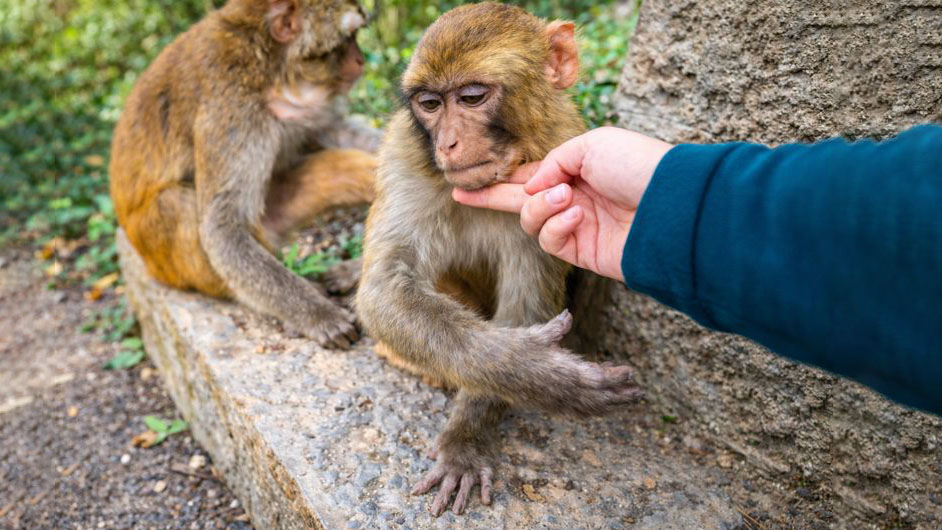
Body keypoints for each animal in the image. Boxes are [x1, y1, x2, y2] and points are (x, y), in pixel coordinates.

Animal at [109, 0, 379, 348]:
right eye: (347, 39)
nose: (360, 59)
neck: (270, 69)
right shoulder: (231, 111)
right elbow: (223, 226)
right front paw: (318, 315)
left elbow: (336, 131)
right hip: (169, 263)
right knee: (176, 203)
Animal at [355, 3, 642, 517]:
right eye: (430, 104)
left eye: (471, 97)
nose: (446, 143)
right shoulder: (404, 158)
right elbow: (387, 287)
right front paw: (537, 371)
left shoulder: (554, 174)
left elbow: (527, 300)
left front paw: (468, 436)